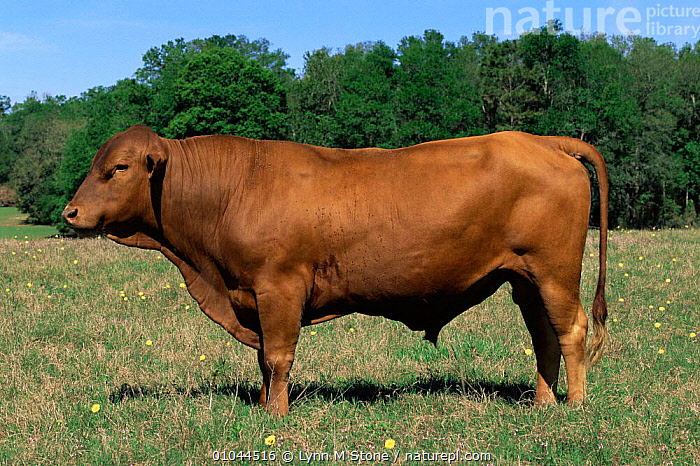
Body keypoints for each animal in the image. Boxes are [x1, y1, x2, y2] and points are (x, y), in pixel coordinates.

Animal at [63, 125, 609, 416]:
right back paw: (542, 404)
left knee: (572, 329)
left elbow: (277, 357)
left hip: (554, 271)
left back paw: (576, 407)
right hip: (525, 279)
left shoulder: (278, 287)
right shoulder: (253, 297)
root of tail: (543, 140)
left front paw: (276, 417)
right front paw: (265, 406)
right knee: (544, 335)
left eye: (118, 168)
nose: (70, 213)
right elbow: (263, 357)